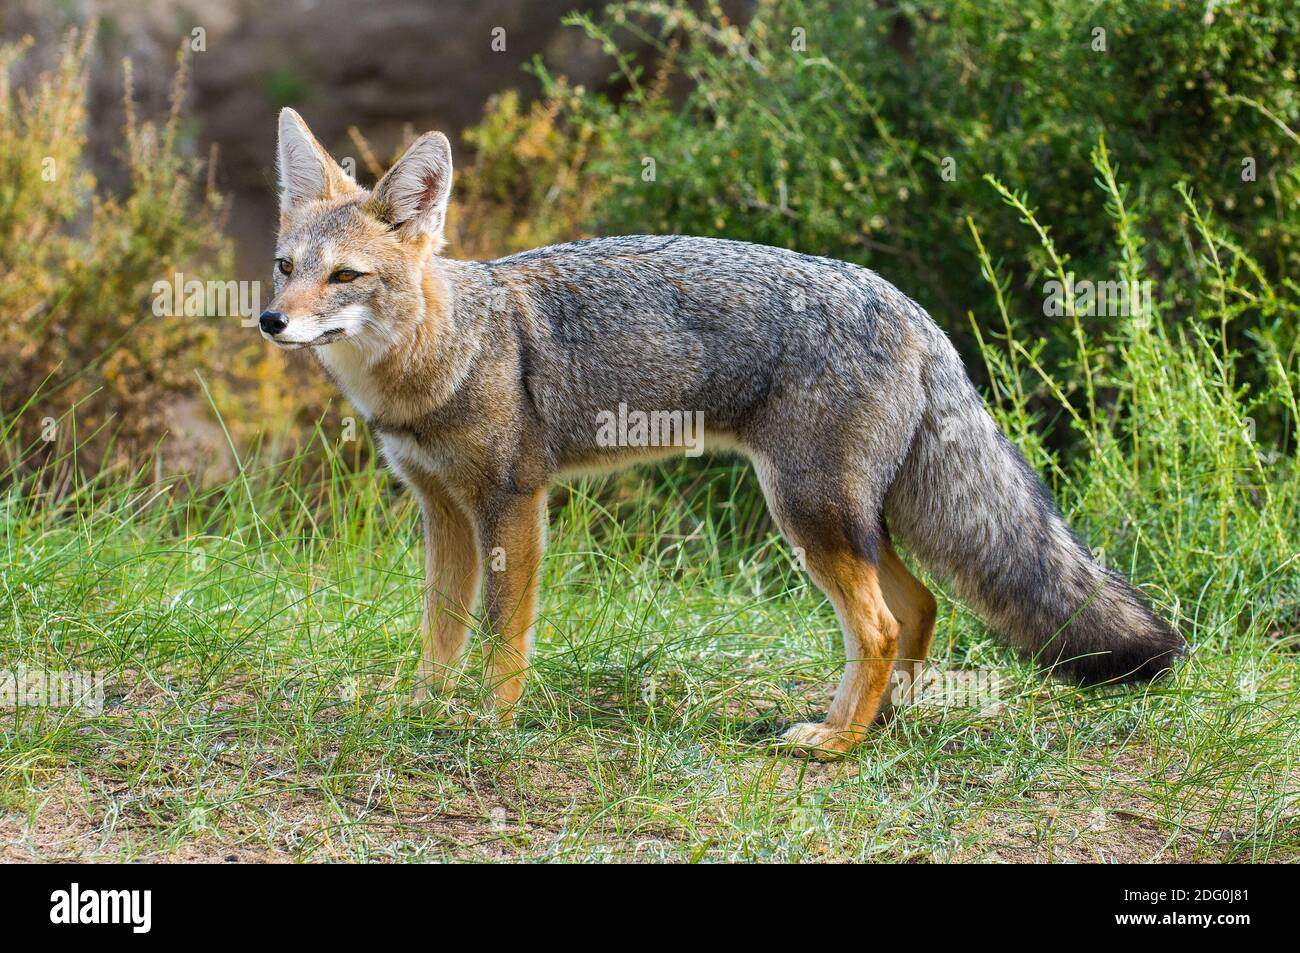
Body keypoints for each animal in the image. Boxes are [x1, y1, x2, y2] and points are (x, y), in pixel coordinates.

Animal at [260, 108, 1185, 757]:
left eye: (345, 278)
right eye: (285, 267)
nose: (270, 320)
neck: (443, 354)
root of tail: (909, 306)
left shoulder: (512, 503)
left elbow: (502, 633)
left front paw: (491, 722)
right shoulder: (442, 510)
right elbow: (442, 629)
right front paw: (420, 707)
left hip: (808, 513)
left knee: (883, 624)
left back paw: (837, 742)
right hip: (845, 518)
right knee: (918, 606)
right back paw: (880, 724)